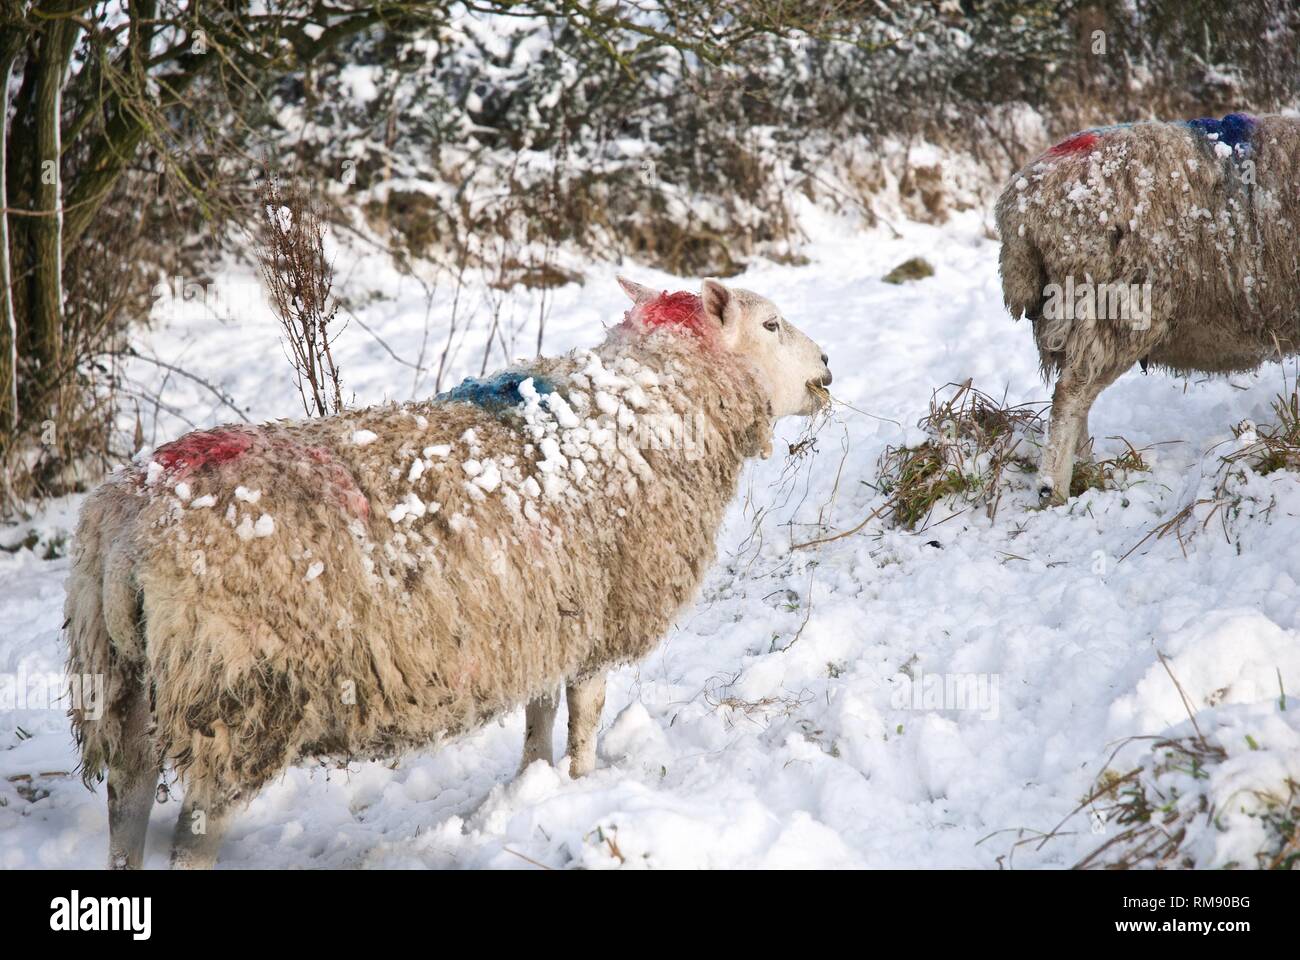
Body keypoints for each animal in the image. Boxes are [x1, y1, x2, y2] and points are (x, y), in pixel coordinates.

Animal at [65, 276, 832, 869]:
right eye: (770, 323)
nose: (827, 364)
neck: (642, 415)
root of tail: (130, 528)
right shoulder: (602, 618)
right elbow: (585, 716)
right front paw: (584, 786)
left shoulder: (545, 616)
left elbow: (539, 716)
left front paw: (533, 782)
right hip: (236, 690)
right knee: (193, 832)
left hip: (122, 677)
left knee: (126, 799)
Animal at [996, 113, 1300, 503]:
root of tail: (1020, 204)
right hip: (1115, 305)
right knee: (1071, 394)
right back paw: (1054, 488)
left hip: (1072, 311)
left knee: (1073, 390)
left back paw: (1086, 469)